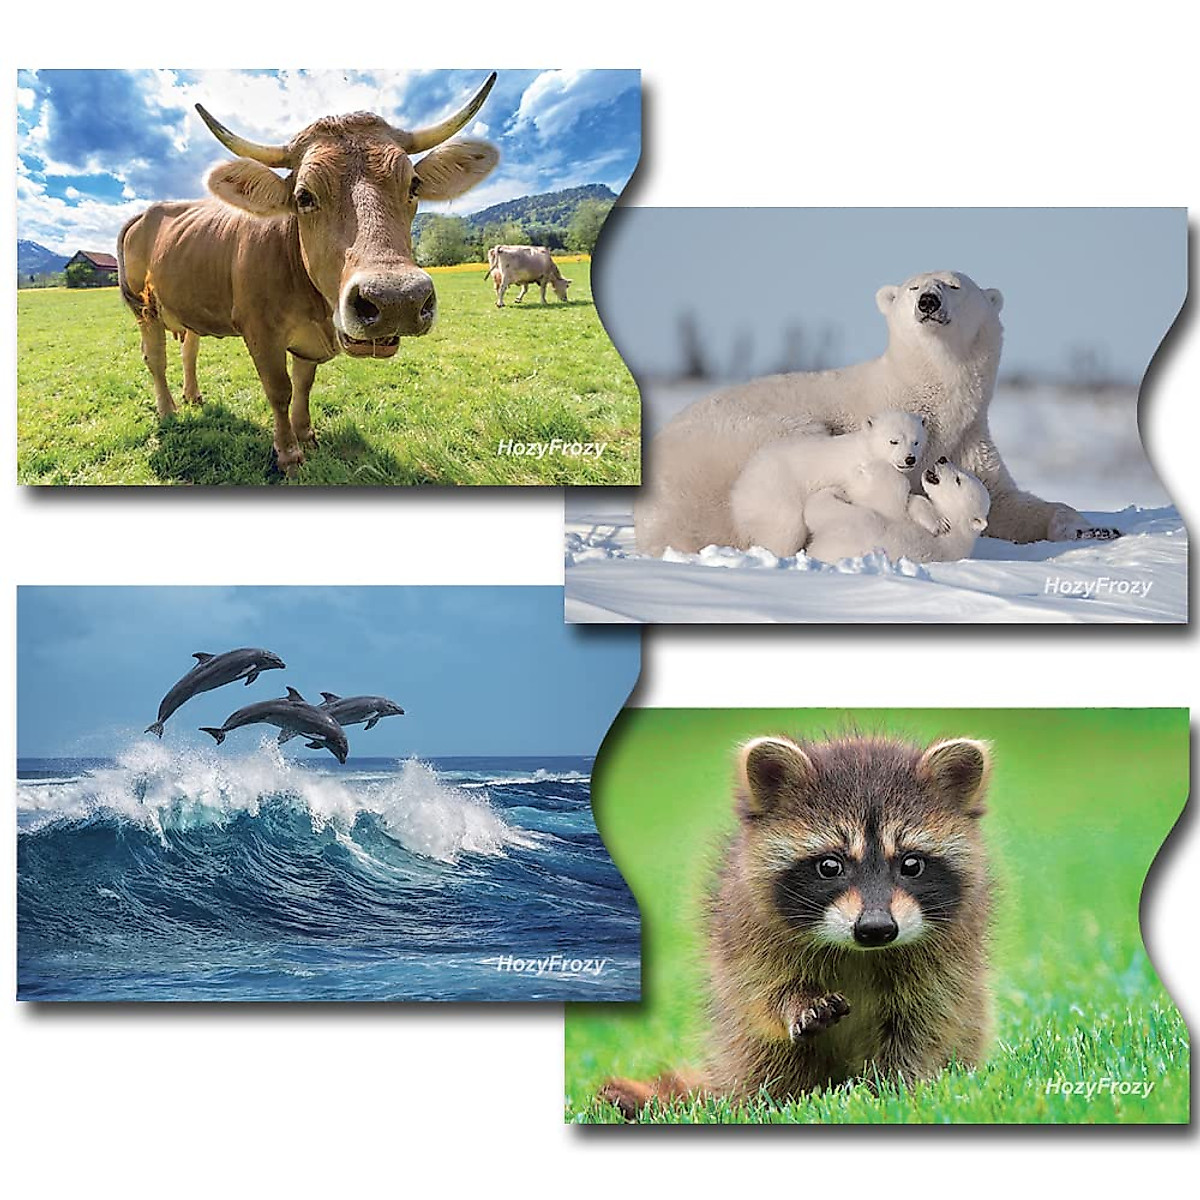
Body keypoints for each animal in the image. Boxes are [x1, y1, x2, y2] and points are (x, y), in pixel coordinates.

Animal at [116, 73, 499, 470]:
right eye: (304, 196)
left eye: (414, 185)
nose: (397, 300)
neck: (313, 306)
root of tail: (147, 212)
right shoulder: (260, 332)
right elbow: (279, 390)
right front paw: (288, 452)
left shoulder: (307, 342)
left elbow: (303, 384)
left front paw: (306, 435)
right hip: (144, 309)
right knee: (155, 359)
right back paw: (168, 410)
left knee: (188, 349)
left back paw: (192, 396)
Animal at [729, 411, 936, 557]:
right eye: (893, 441)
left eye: (916, 441)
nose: (909, 459)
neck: (867, 451)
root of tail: (739, 488)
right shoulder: (860, 475)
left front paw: (933, 524)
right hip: (776, 493)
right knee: (785, 530)